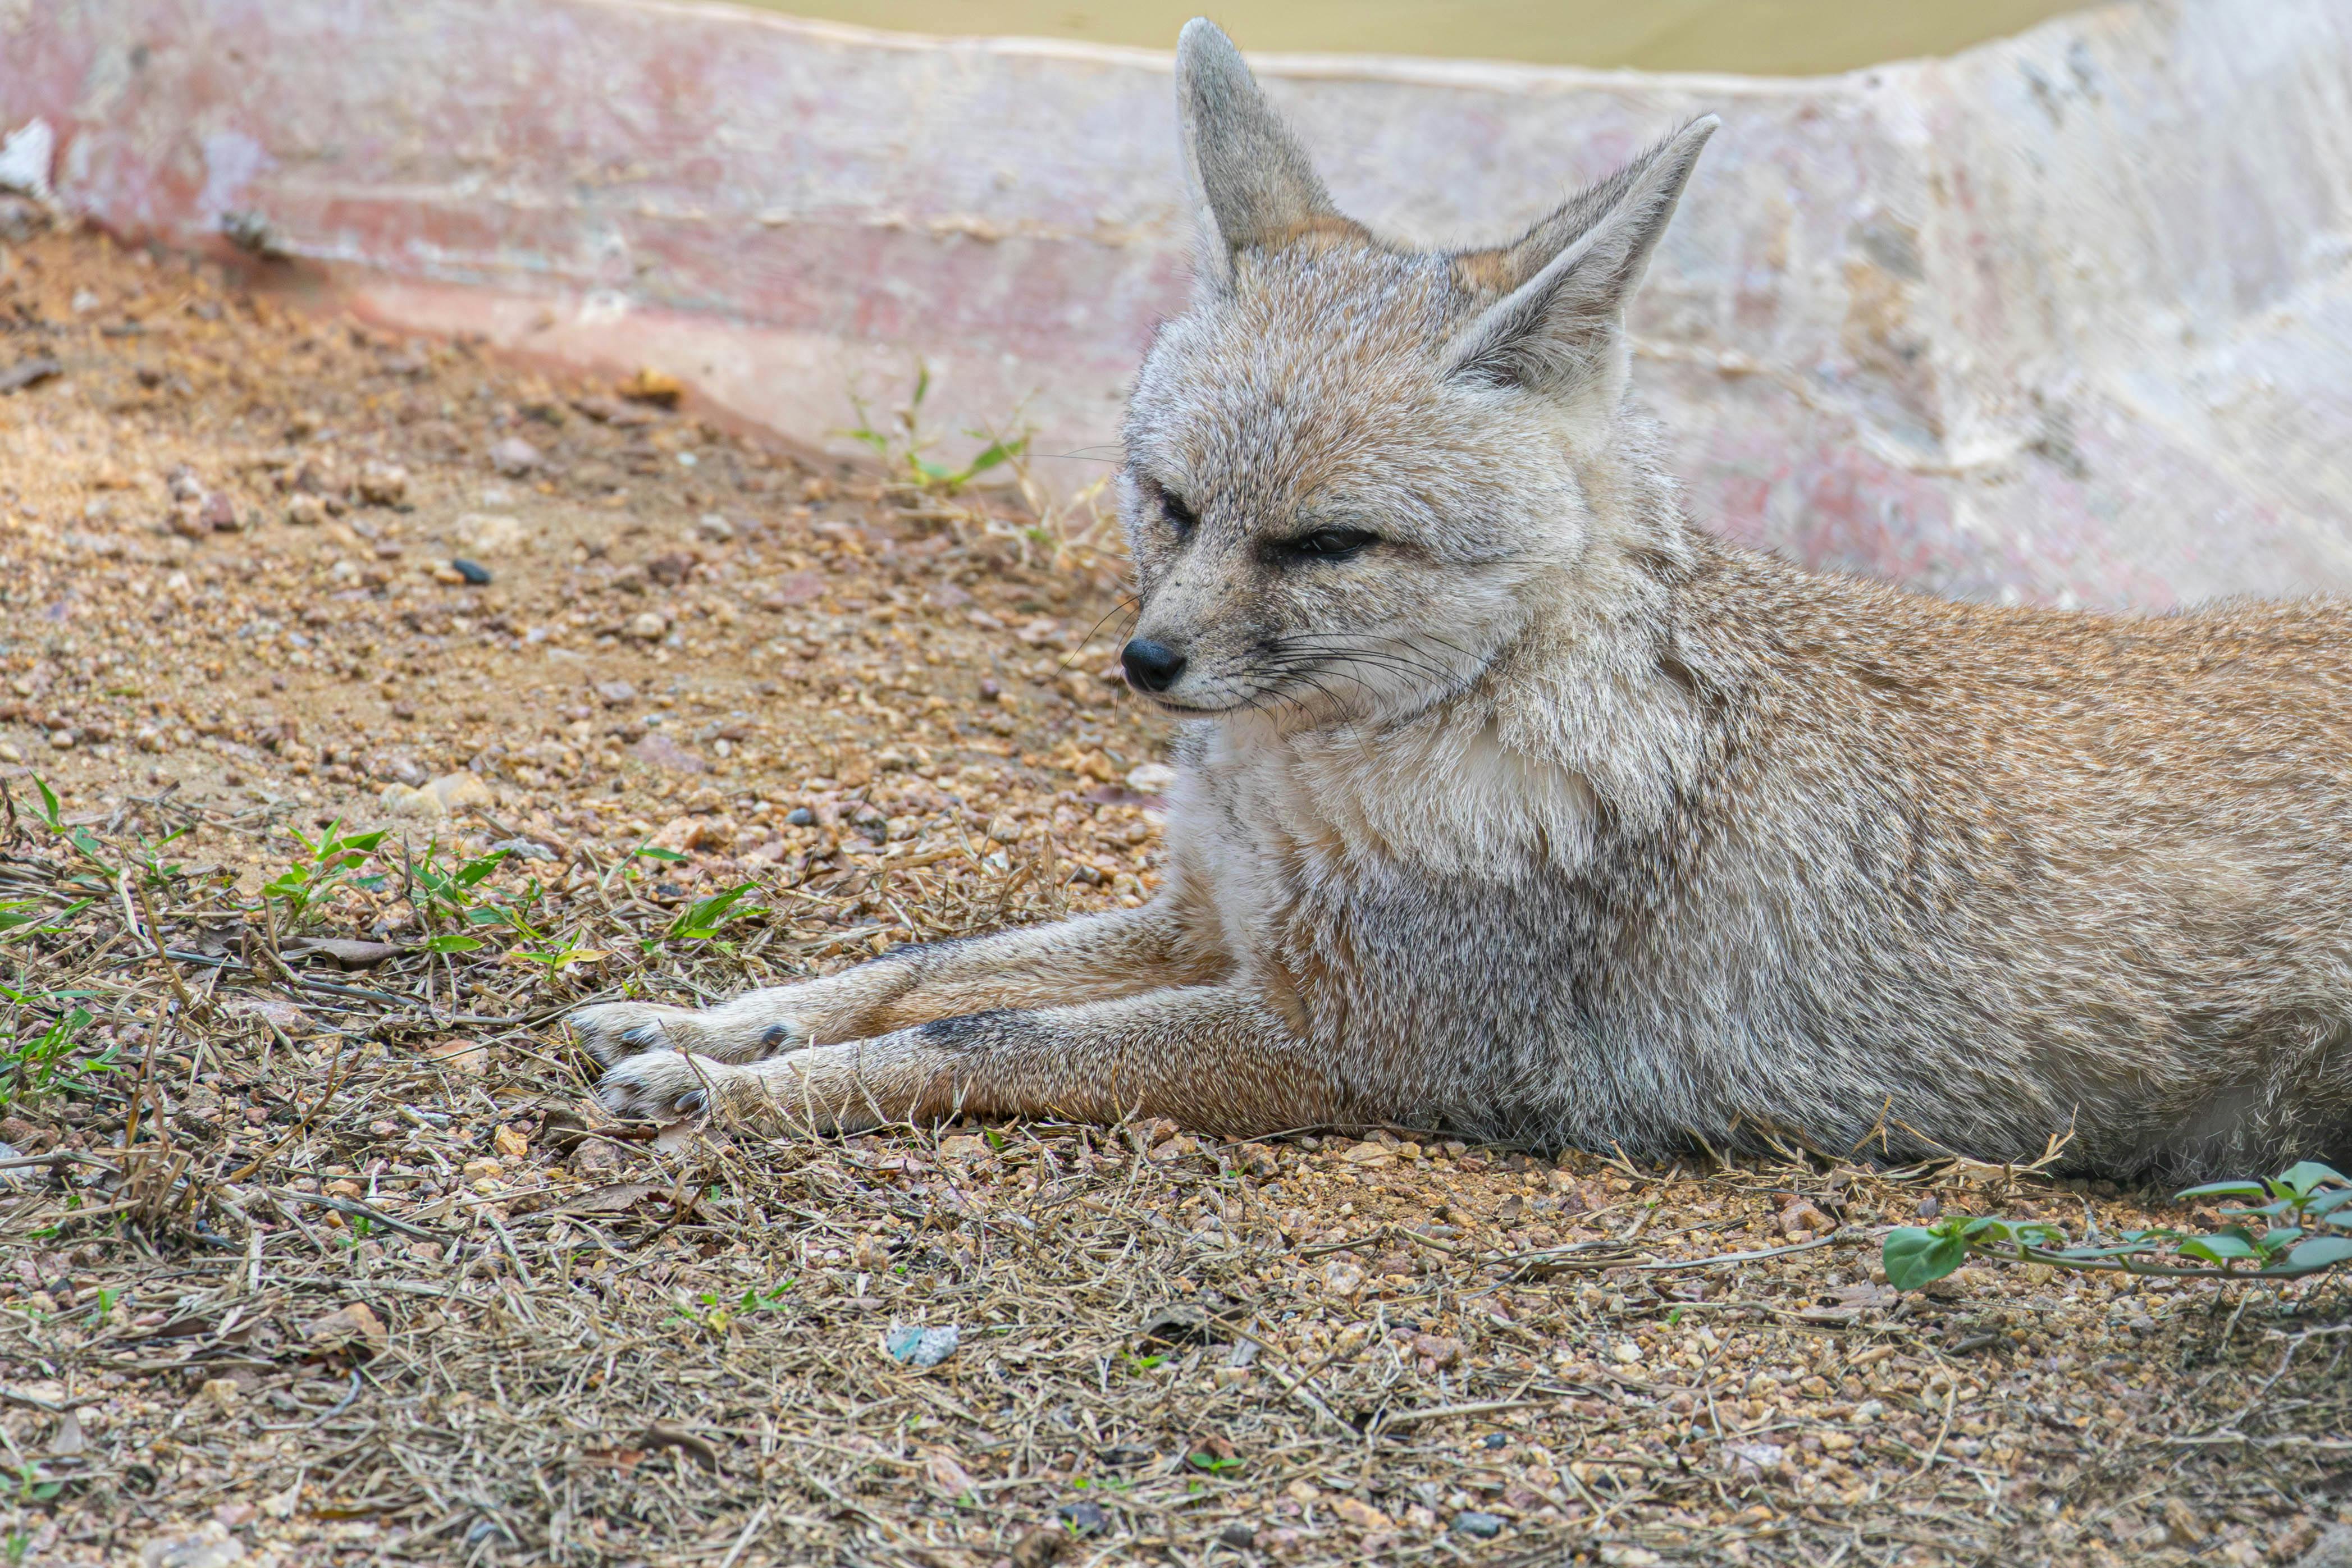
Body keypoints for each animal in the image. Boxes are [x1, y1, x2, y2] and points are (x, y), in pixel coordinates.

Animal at [573, 18, 2352, 1181]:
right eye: (1171, 506)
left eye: (1326, 547)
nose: (1146, 663)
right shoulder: (1205, 922)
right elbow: (923, 965)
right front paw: (718, 1022)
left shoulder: (1345, 1046)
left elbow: (975, 1038)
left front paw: (737, 1097)